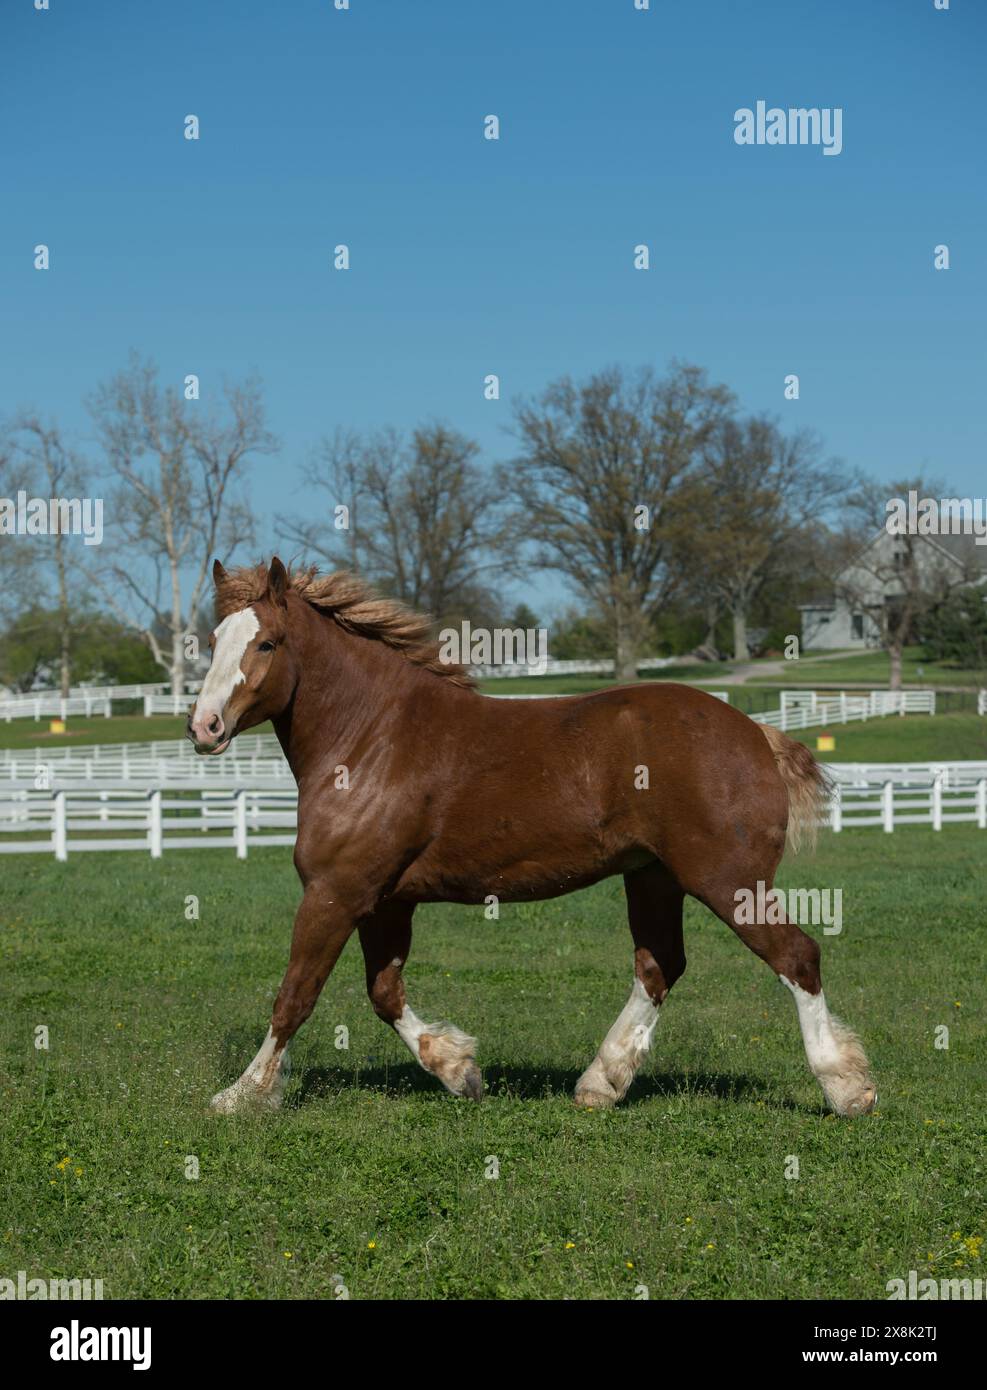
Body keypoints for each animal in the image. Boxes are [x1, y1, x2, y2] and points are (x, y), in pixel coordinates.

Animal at [187, 556, 876, 1118]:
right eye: (214, 641)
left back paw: (846, 1088)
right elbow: (384, 994)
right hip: (652, 878)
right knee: (660, 967)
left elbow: (295, 995)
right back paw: (600, 1084)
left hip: (727, 882)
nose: (204, 727)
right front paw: (458, 1071)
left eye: (268, 642)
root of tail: (759, 735)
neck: (371, 737)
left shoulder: (336, 892)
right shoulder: (386, 902)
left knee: (796, 957)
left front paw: (242, 1095)